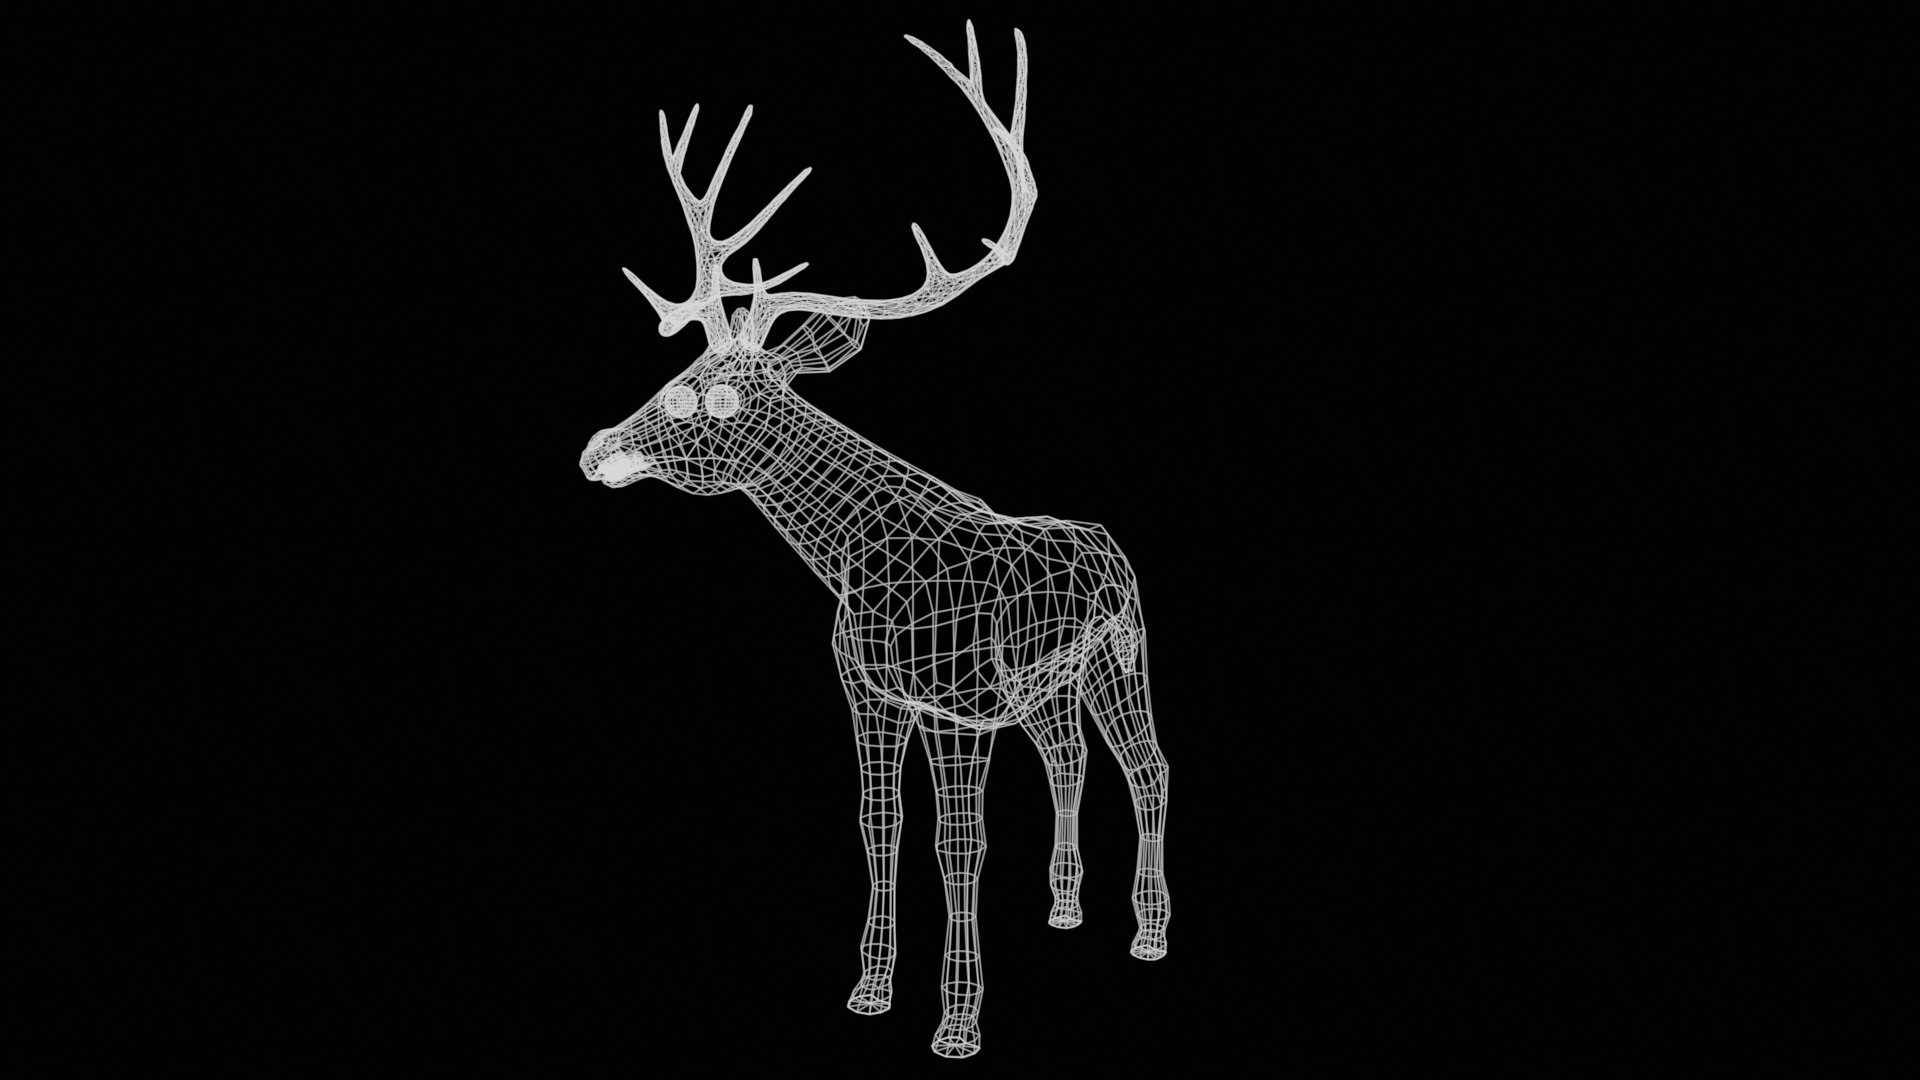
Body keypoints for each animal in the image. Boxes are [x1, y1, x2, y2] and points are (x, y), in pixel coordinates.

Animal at [577, 22, 1170, 1059]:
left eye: (715, 396)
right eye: (676, 370)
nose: (595, 450)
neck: (864, 567)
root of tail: (1109, 542)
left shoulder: (960, 703)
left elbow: (959, 843)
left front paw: (958, 1023)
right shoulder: (868, 694)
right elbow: (877, 826)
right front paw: (869, 989)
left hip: (1119, 654)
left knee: (1149, 768)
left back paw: (1147, 932)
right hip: (1046, 690)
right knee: (1070, 759)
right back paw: (1064, 910)